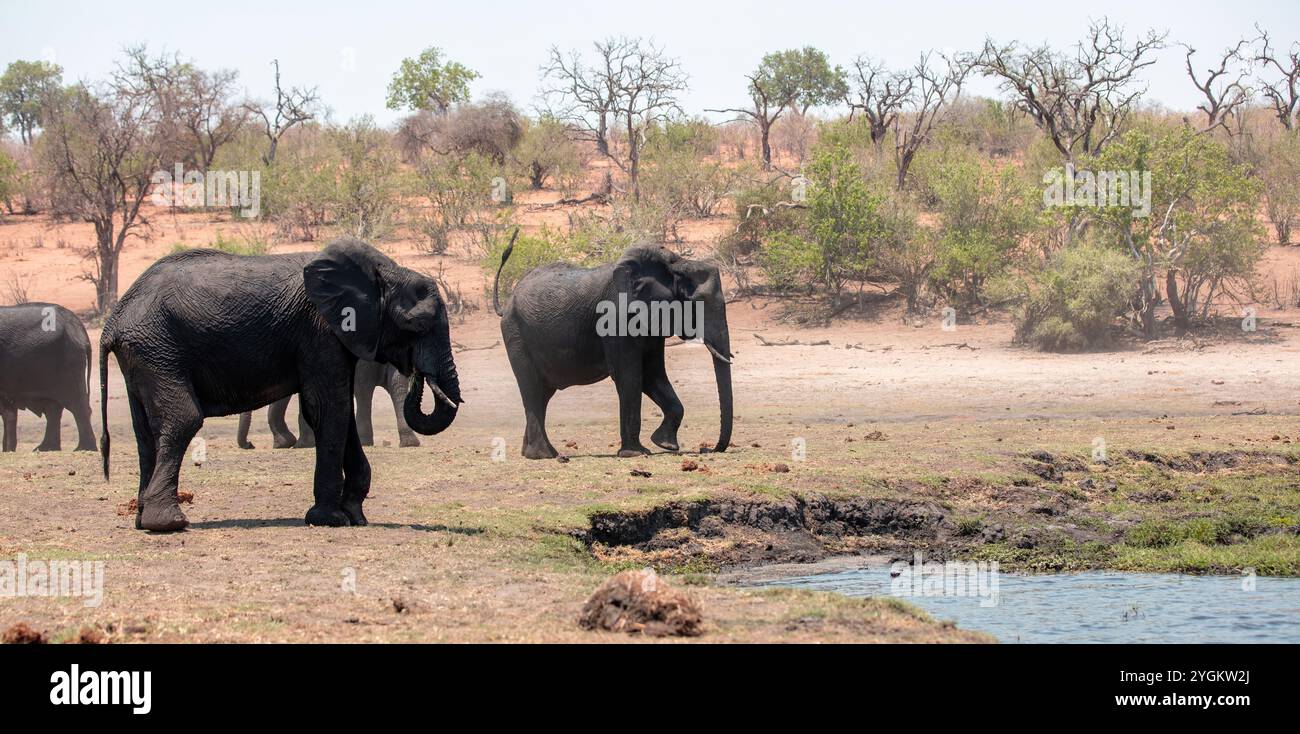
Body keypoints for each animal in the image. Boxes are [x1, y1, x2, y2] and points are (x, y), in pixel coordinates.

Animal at [0, 303, 97, 452]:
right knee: (54, 408)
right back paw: (45, 448)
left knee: (76, 404)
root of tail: (80, 328)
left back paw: (83, 449)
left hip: (69, 361)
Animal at [236, 360, 419, 449]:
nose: (250, 444)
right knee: (396, 384)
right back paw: (408, 442)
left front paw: (297, 445)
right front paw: (286, 444)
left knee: (363, 388)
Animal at [494, 241, 732, 460]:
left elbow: (652, 375)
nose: (707, 449)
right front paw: (636, 453)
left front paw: (664, 445)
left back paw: (536, 453)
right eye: (698, 302)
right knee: (533, 391)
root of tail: (507, 303)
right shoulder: (616, 318)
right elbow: (630, 376)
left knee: (542, 395)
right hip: (516, 335)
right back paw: (544, 455)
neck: (673, 264)